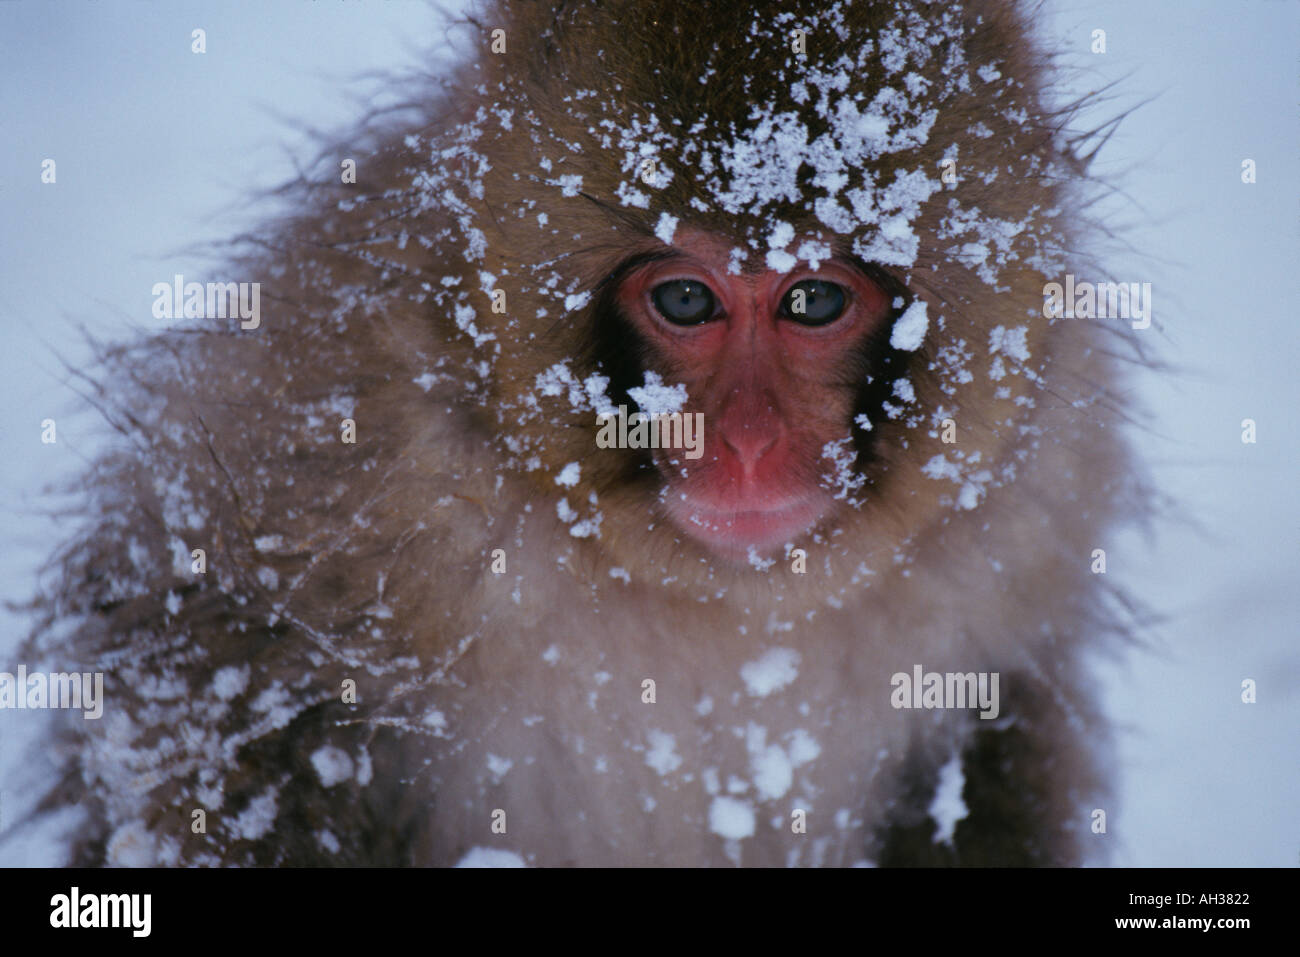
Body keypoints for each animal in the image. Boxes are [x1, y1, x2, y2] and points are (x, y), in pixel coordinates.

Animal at [14, 0, 1147, 867]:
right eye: (686, 300)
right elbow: (195, 650)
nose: (744, 447)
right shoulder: (355, 426)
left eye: (814, 300)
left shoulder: (1040, 509)